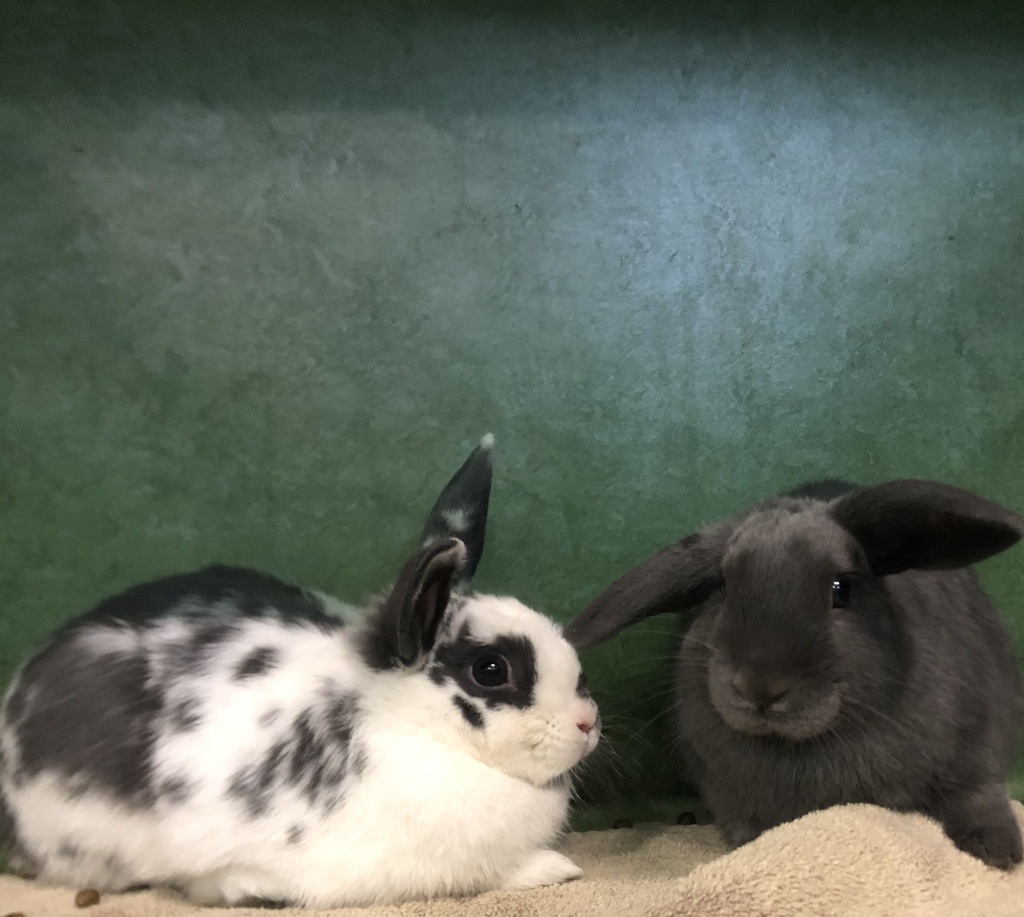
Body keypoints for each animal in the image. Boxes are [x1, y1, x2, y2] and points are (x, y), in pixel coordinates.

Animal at [564, 478, 1024, 869]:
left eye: (841, 589)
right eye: (723, 586)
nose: (759, 688)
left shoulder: (978, 740)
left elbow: (977, 794)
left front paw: (999, 852)